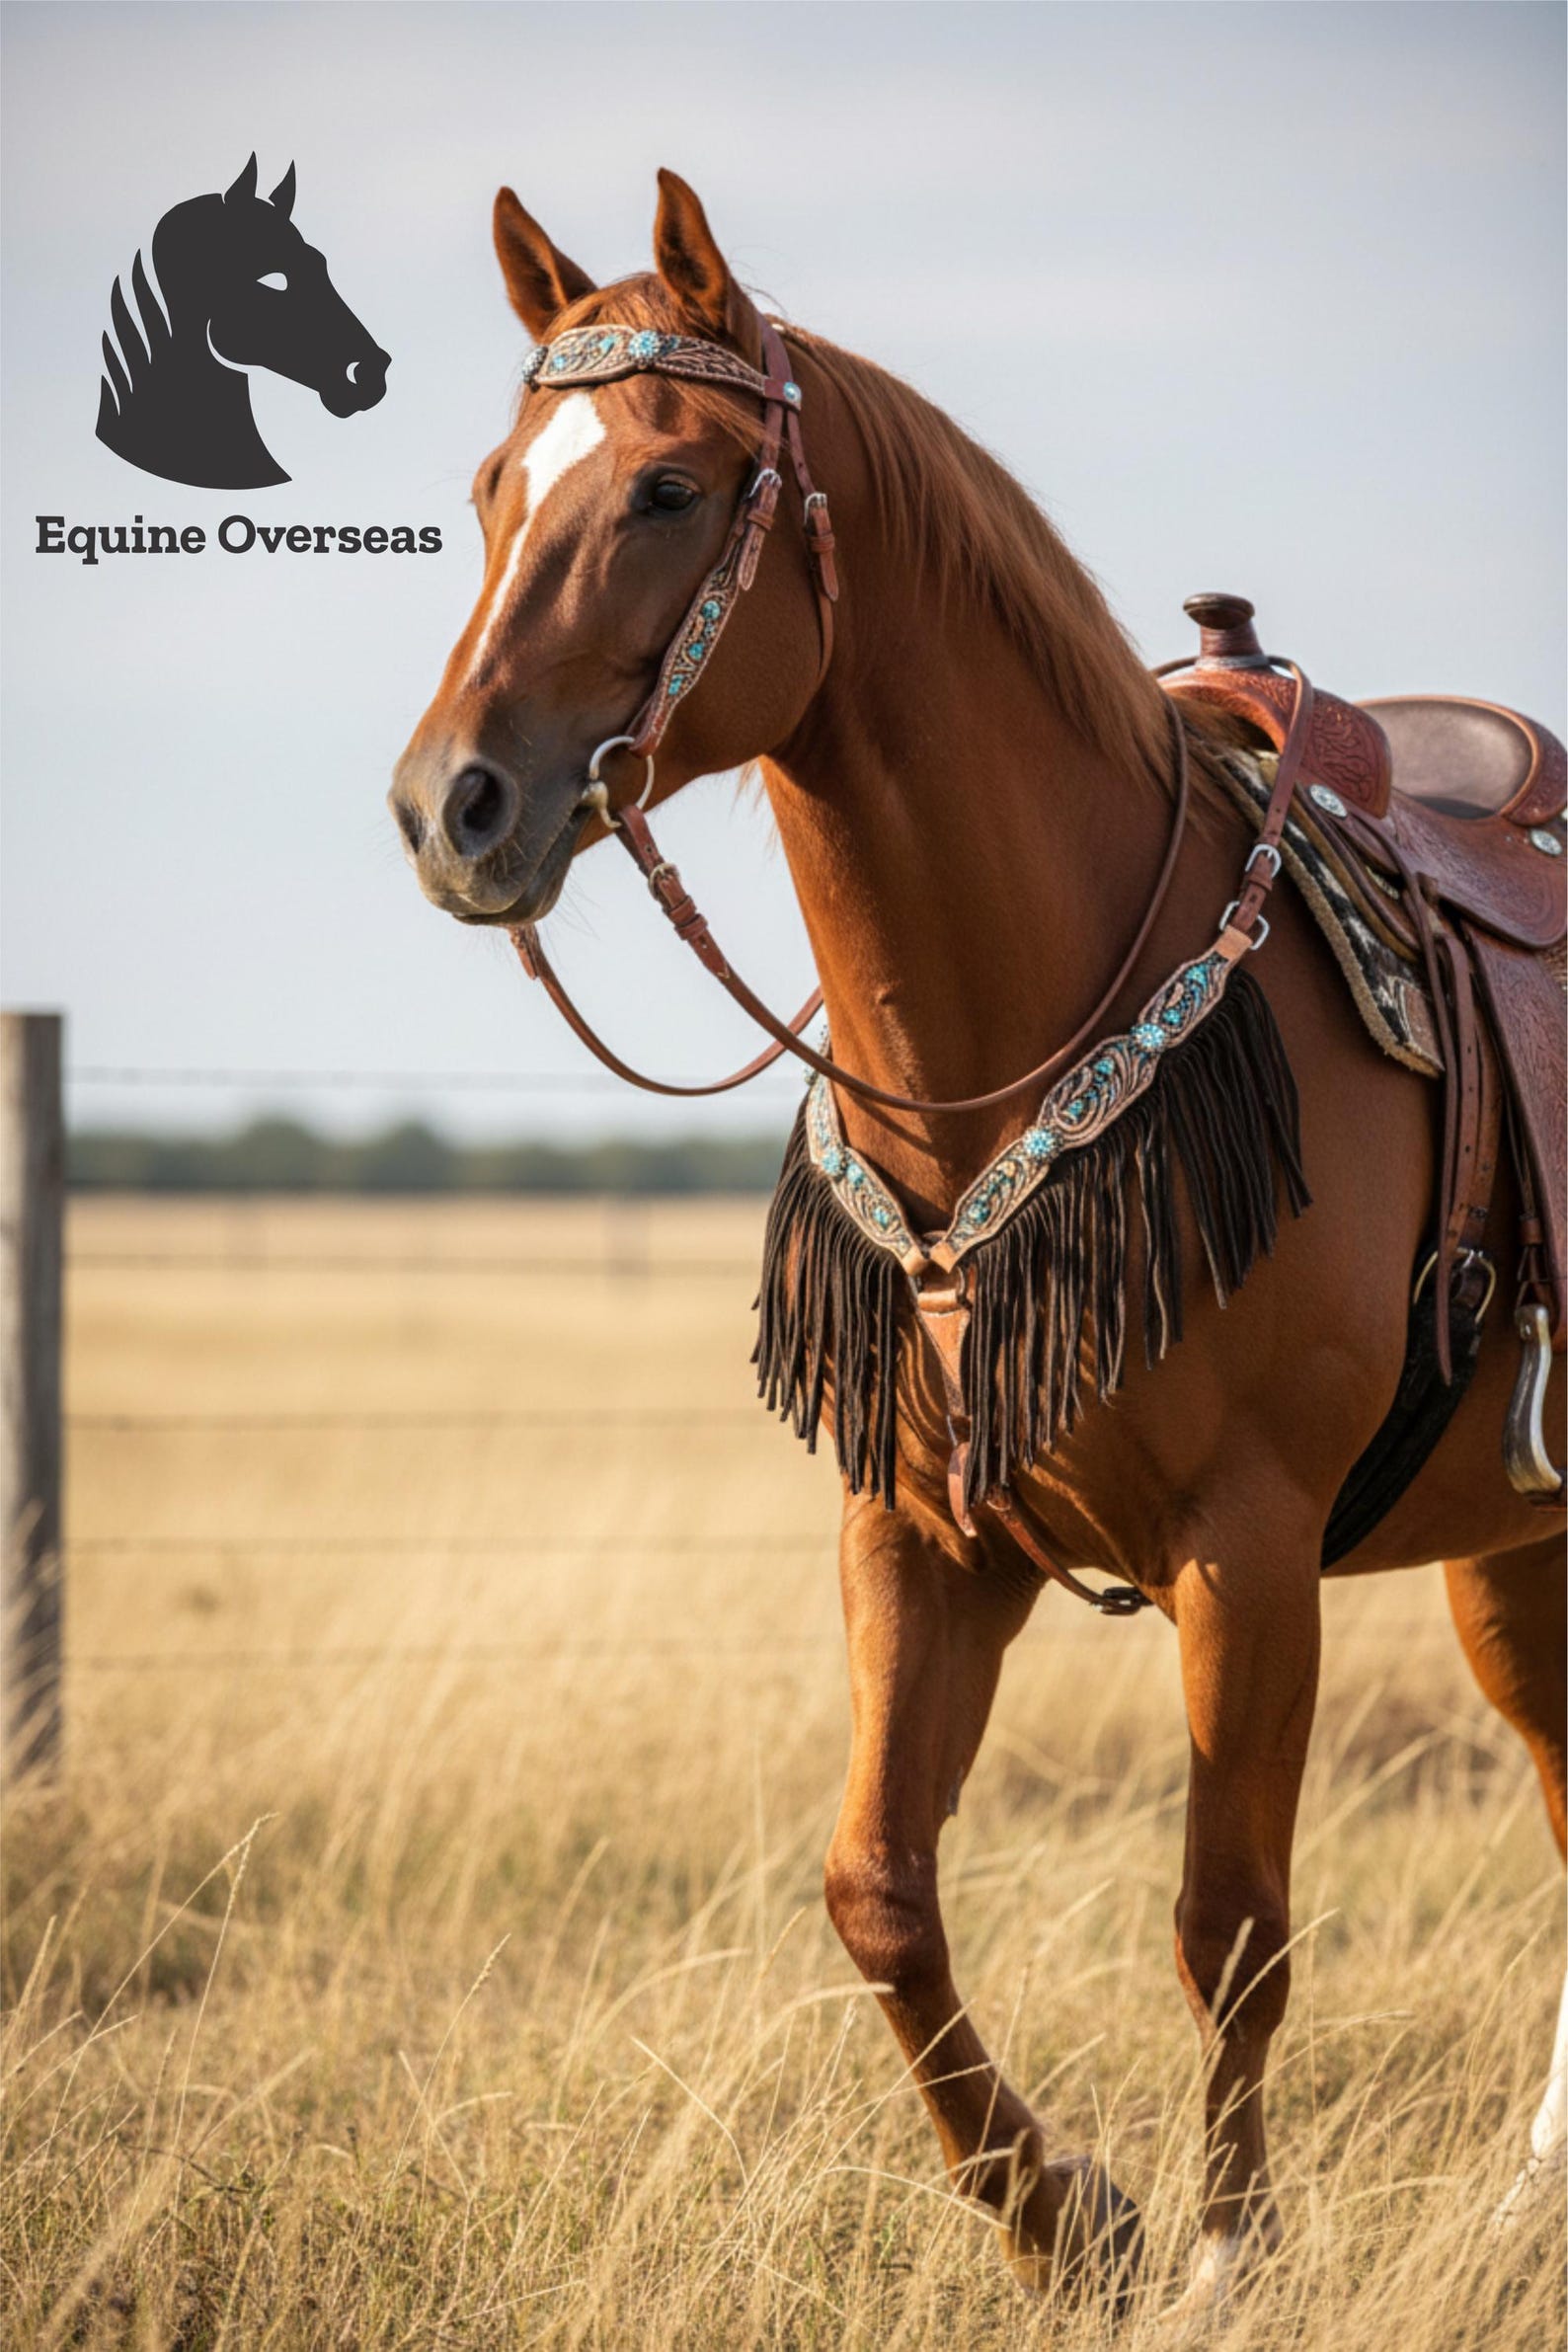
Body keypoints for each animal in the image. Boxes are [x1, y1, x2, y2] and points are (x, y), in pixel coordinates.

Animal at [389, 170, 1565, 2315]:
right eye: (494, 486)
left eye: (671, 488)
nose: (453, 805)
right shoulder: (920, 1541)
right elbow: (875, 1890)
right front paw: (1063, 2218)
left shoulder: (1245, 1551)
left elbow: (1227, 1924)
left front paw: (1222, 2255)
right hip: (1512, 1555)